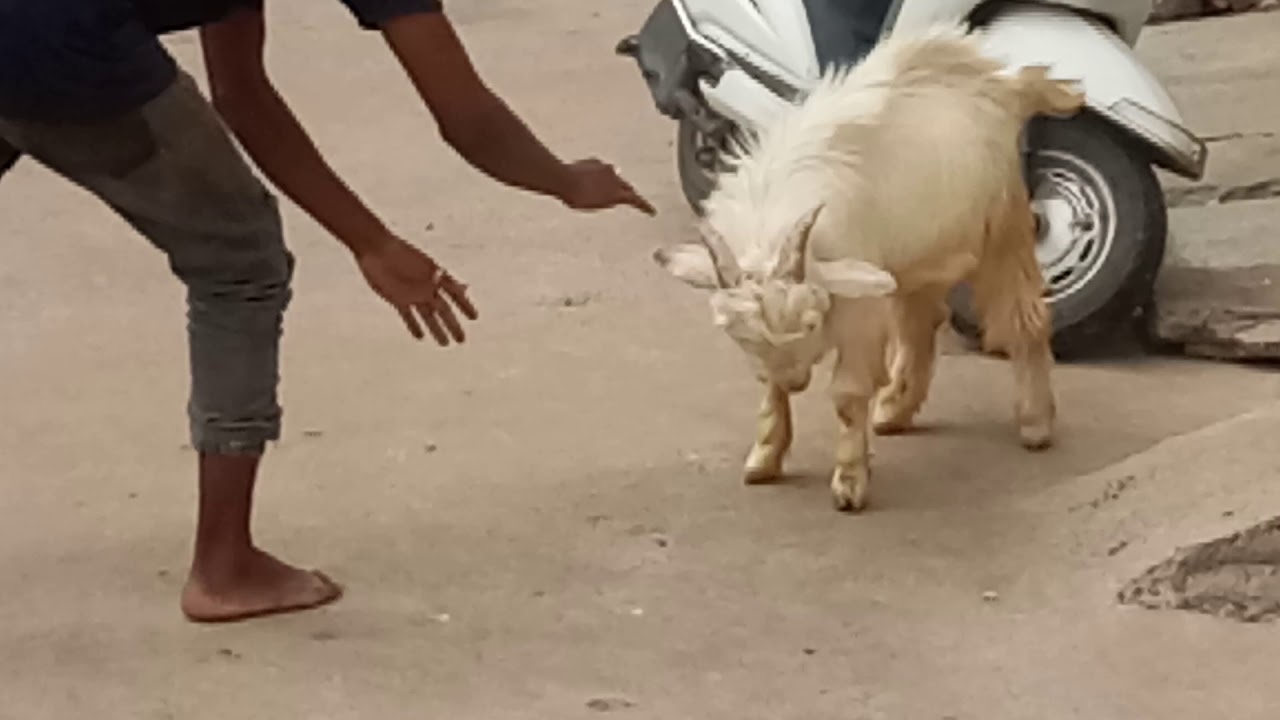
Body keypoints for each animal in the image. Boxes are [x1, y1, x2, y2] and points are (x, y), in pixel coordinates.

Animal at [654, 23, 1085, 512]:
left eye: (810, 322)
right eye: (736, 333)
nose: (798, 380)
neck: (773, 215)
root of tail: (1003, 82)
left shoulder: (856, 312)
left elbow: (847, 394)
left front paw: (849, 481)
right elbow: (770, 388)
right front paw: (765, 456)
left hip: (1002, 223)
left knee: (1022, 316)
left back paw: (1035, 423)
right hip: (915, 252)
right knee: (919, 323)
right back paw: (895, 410)